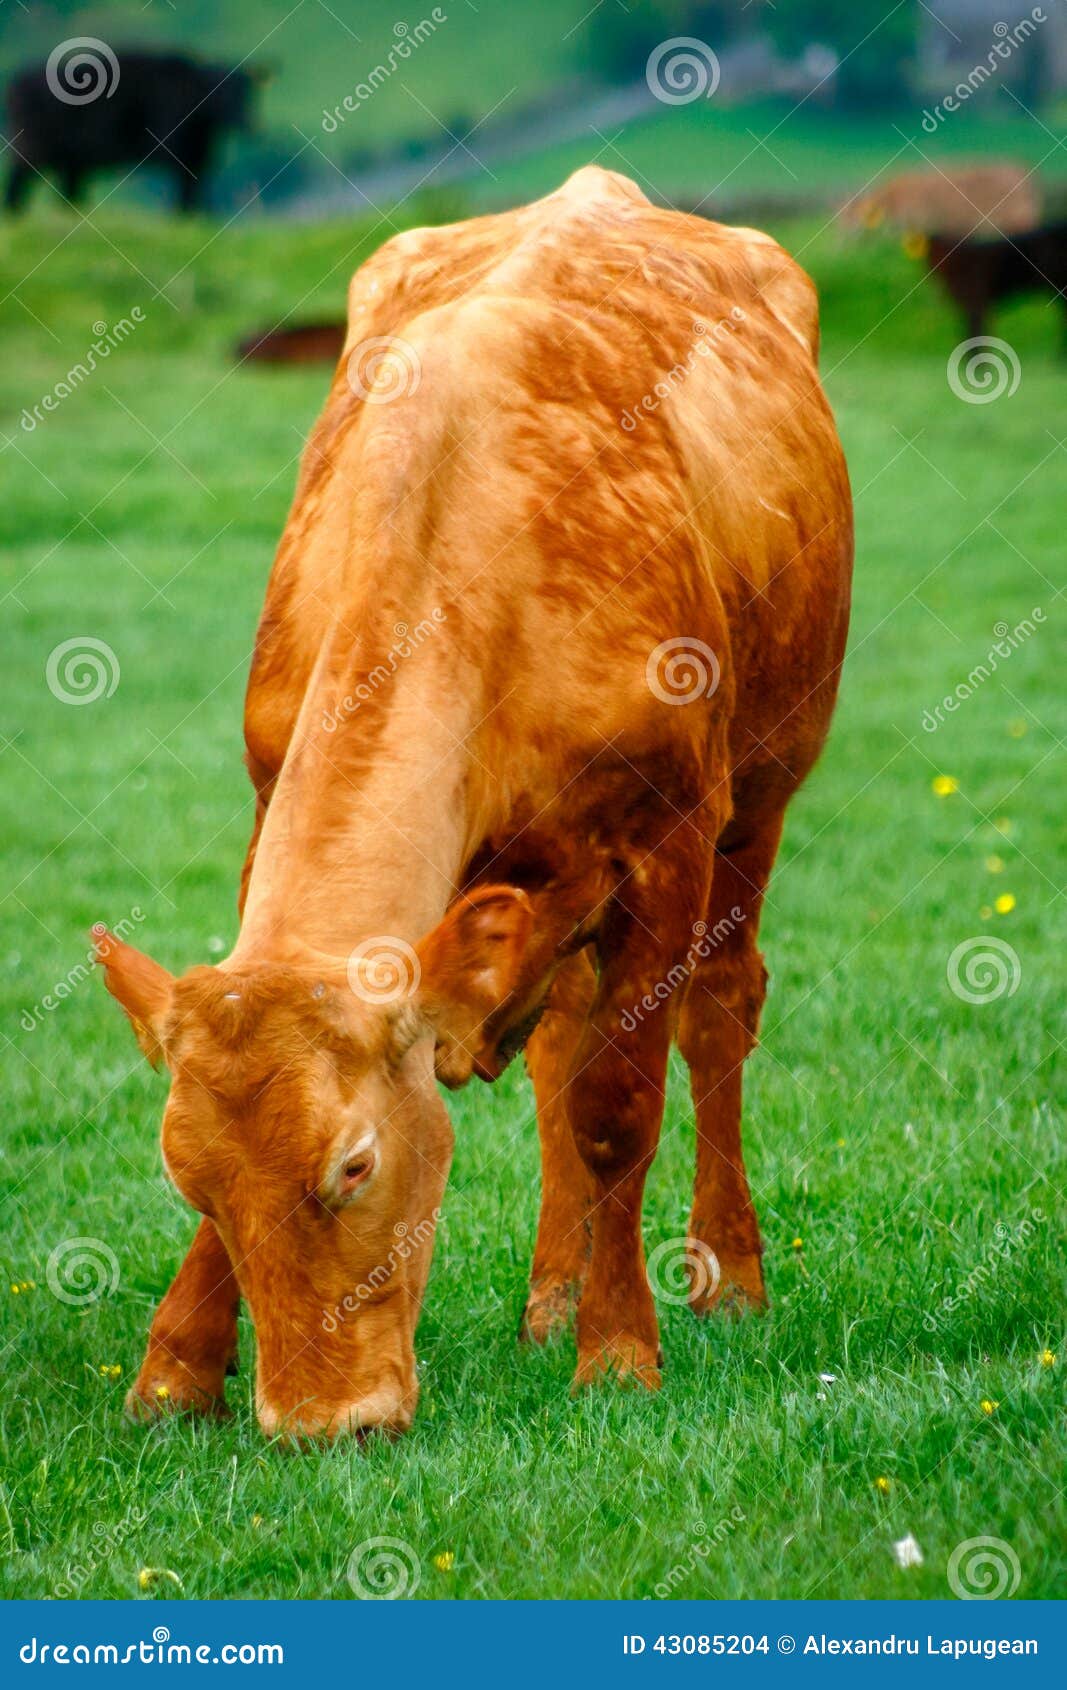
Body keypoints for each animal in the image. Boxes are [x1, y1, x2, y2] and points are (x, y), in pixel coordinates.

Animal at [4, 48, 263, 214]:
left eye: (247, 93)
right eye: (219, 91)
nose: (247, 124)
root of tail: (16, 81)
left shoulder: (196, 156)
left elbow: (194, 191)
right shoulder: (180, 153)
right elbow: (189, 194)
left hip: (72, 157)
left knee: (70, 191)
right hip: (34, 148)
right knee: (18, 182)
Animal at [94, 167, 853, 1441]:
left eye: (353, 1164)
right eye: (184, 1174)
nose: (321, 1423)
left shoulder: (666, 841)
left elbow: (617, 1104)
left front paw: (619, 1353)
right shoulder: (271, 802)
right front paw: (178, 1365)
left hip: (762, 792)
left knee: (716, 1011)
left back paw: (724, 1275)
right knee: (558, 1042)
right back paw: (548, 1297)